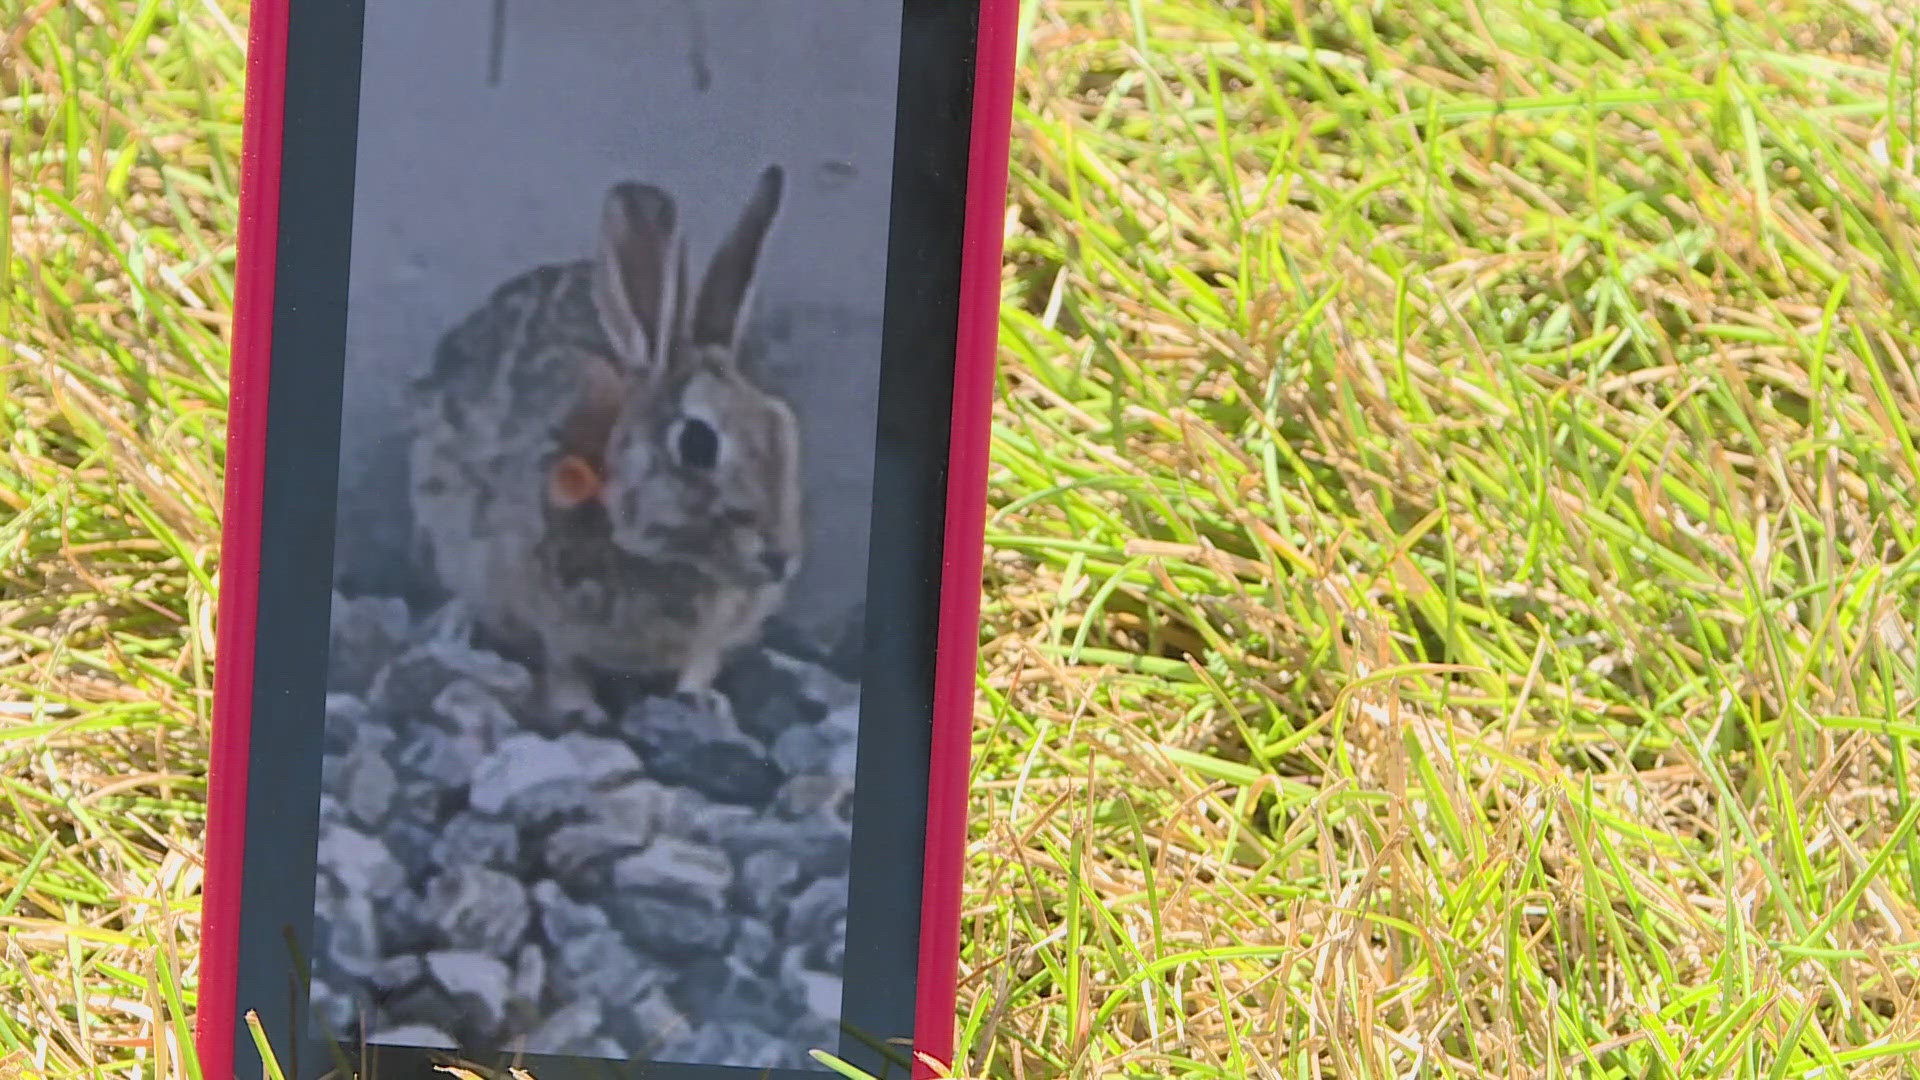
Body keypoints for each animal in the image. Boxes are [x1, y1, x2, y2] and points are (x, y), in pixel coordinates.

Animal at [407, 165, 802, 727]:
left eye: (784, 427)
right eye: (697, 443)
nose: (781, 558)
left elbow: (700, 661)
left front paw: (699, 699)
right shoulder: (541, 604)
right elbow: (563, 662)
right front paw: (579, 711)